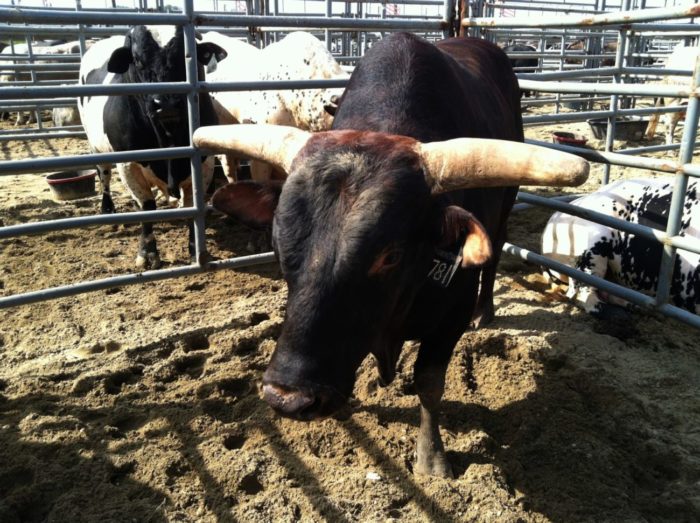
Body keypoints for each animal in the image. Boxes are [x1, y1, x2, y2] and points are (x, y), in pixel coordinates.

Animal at [78, 26, 227, 269]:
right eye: (137, 60)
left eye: (188, 57)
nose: (166, 103)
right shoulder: (129, 164)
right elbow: (146, 207)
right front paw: (147, 253)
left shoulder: (204, 160)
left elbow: (192, 205)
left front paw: (195, 248)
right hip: (96, 148)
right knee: (104, 177)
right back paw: (108, 209)